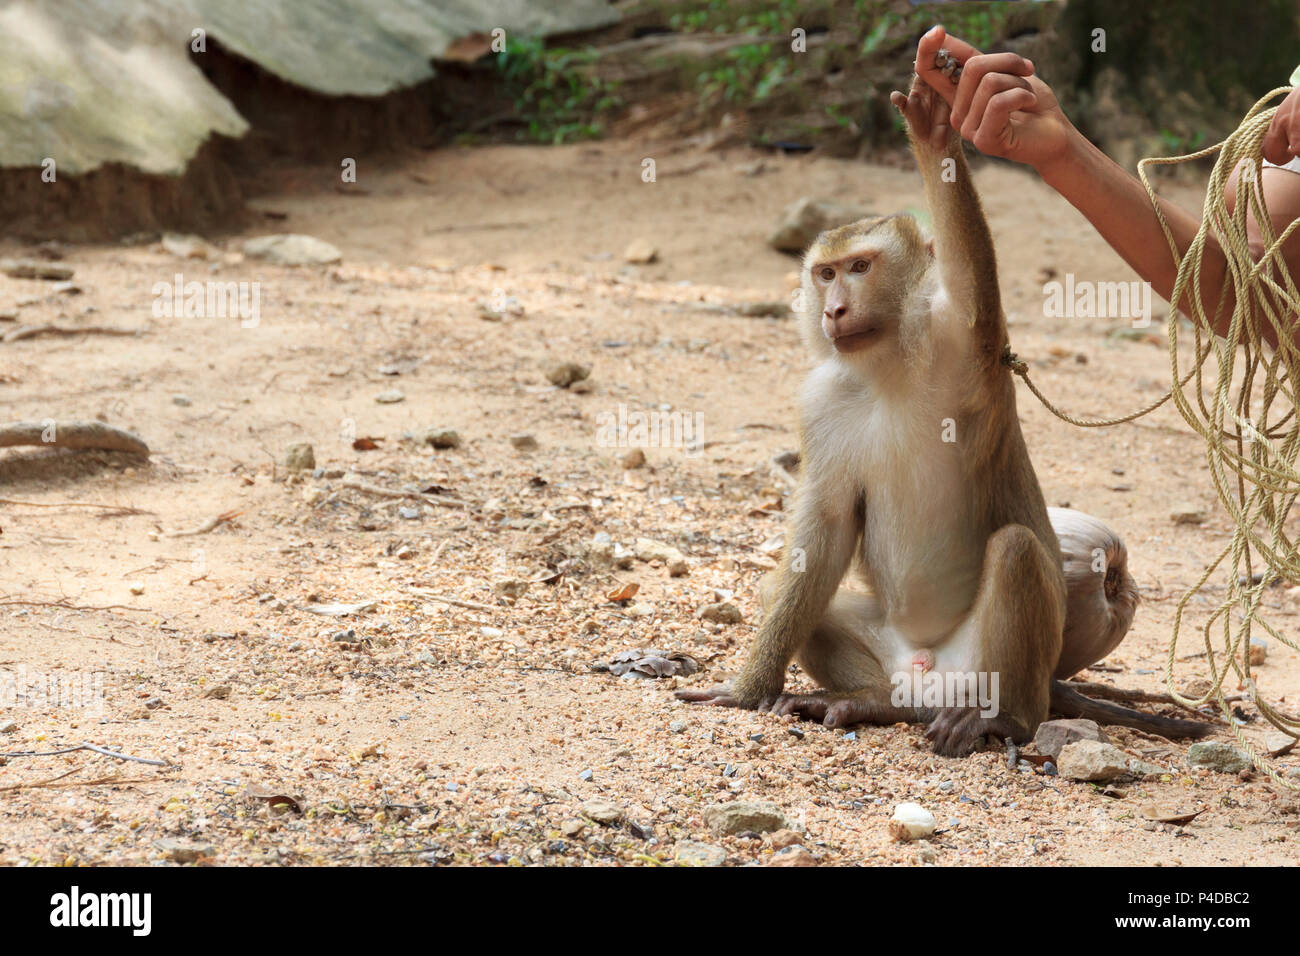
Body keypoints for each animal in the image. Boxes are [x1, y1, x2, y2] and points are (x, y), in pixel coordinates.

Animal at [676, 74, 1210, 755]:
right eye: (825, 273)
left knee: (1015, 552)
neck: (889, 369)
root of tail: (932, 678)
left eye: (860, 267)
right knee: (792, 590)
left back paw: (1004, 719)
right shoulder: (820, 402)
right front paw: (748, 691)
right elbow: (823, 535)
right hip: (902, 660)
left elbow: (971, 284)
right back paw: (875, 702)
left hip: (988, 667)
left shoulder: (959, 340)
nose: (834, 309)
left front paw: (936, 133)